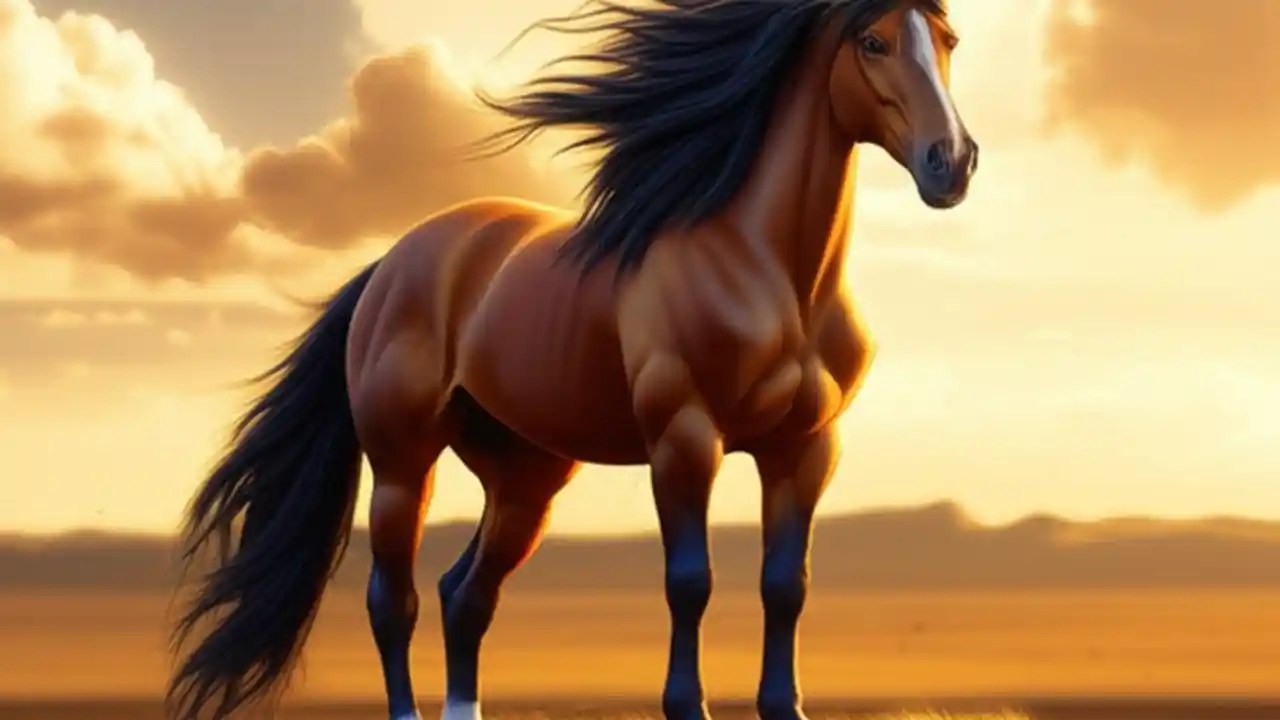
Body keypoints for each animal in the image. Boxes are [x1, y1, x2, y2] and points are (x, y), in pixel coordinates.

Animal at [167, 1, 976, 719]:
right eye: (872, 41)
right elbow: (690, 582)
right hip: (402, 465)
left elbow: (786, 585)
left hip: (527, 479)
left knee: (466, 597)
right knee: (393, 601)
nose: (952, 164)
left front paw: (785, 705)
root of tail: (392, 264)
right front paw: (686, 705)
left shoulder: (804, 450)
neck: (771, 275)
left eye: (948, 41)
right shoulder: (685, 440)